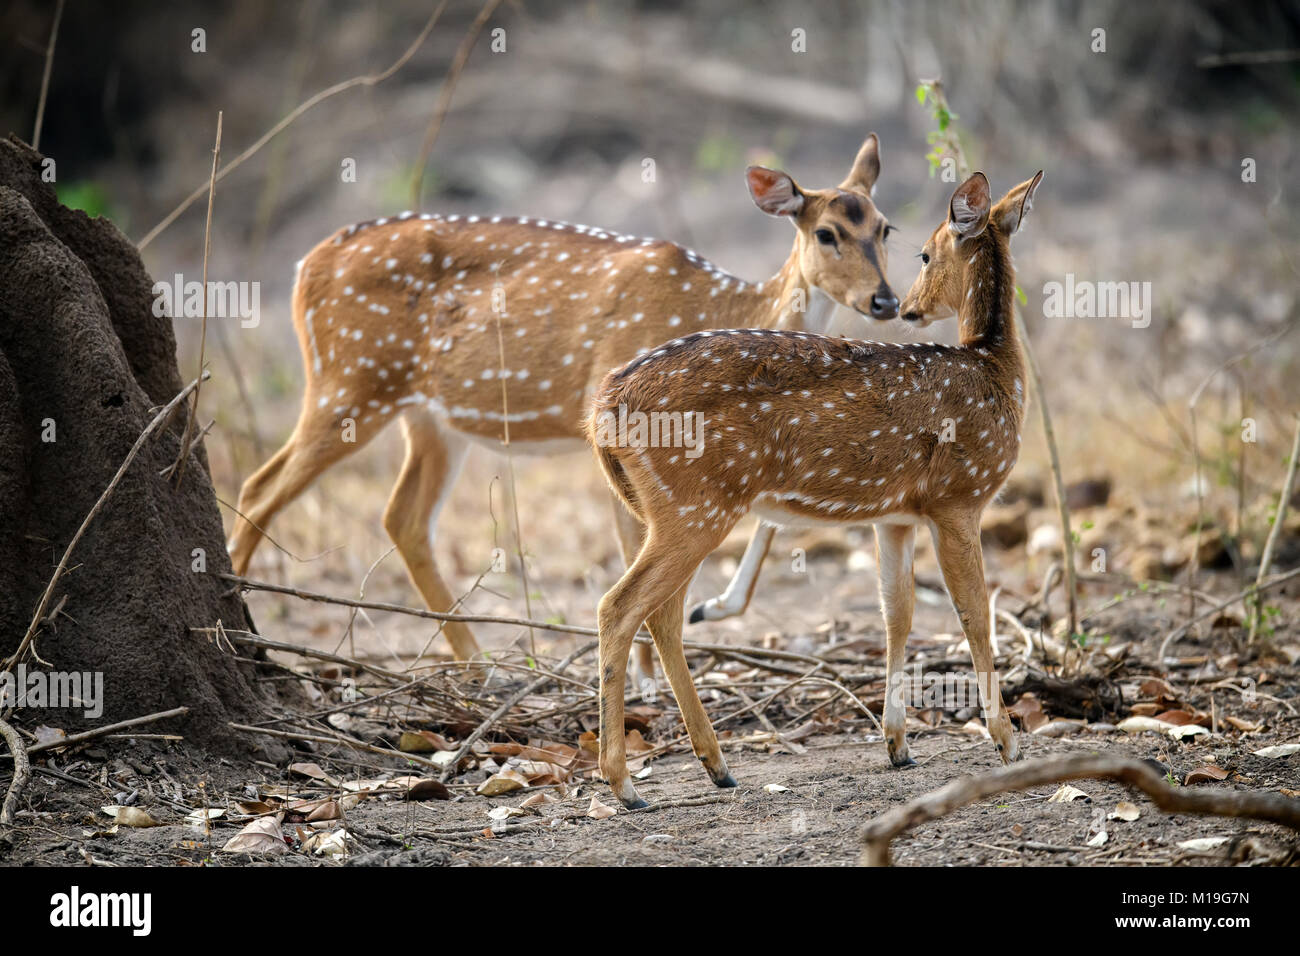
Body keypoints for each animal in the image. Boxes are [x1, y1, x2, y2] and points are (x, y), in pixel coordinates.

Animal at [226, 134, 900, 674]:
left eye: (885, 228)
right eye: (827, 233)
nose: (886, 301)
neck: (722, 306)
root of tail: (306, 265)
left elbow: (770, 513)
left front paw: (712, 609)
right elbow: (634, 547)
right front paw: (647, 677)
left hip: (429, 416)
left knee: (403, 518)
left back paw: (480, 666)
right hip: (351, 379)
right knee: (261, 486)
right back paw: (245, 640)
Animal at [585, 170, 1043, 808]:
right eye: (924, 251)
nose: (906, 307)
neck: (994, 373)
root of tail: (602, 408)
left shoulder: (897, 515)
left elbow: (897, 614)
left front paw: (899, 746)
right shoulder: (958, 496)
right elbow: (974, 614)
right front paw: (1006, 742)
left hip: (676, 509)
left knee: (663, 614)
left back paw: (716, 765)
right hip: (696, 504)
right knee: (619, 606)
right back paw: (626, 783)